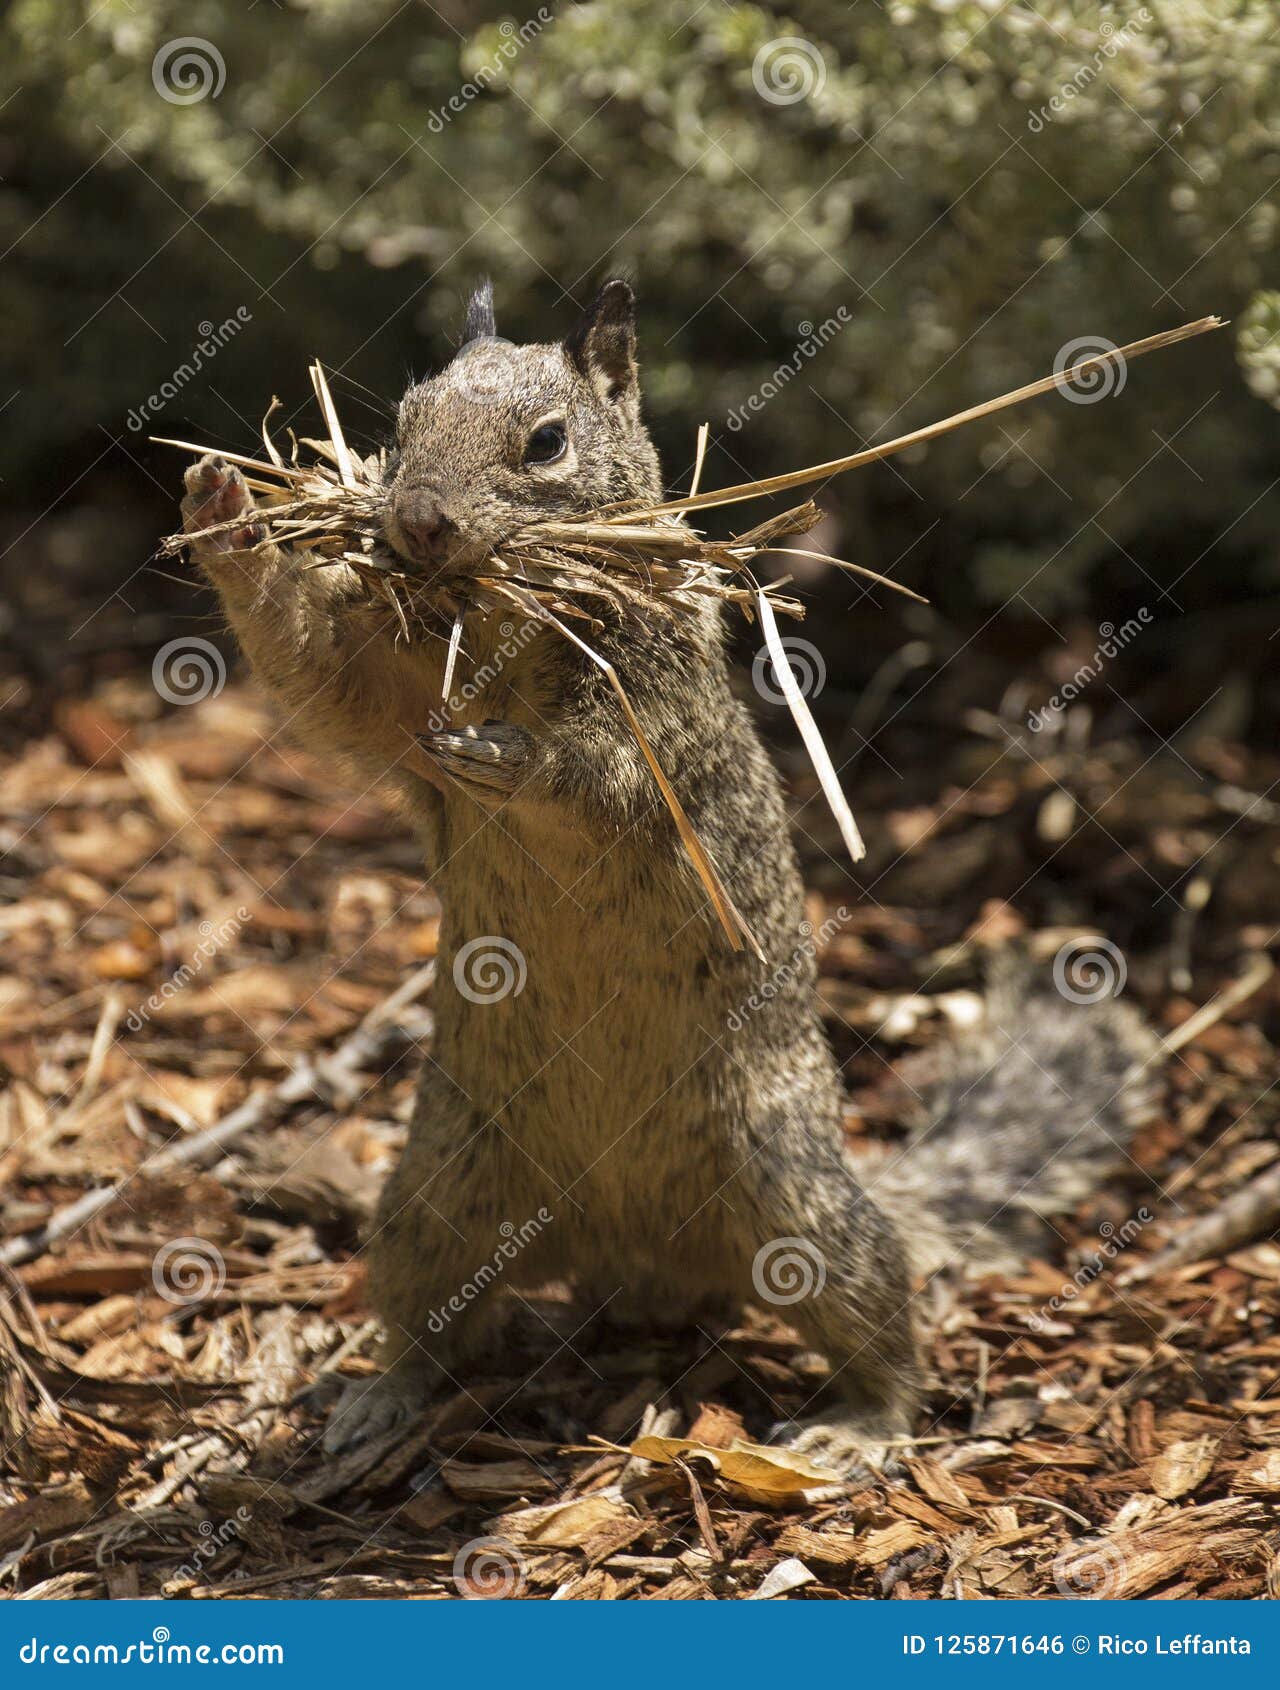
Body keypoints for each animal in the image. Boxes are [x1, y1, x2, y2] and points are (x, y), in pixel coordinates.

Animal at [179, 279, 1157, 1478]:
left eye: (547, 443)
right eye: (400, 426)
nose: (416, 523)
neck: (503, 621)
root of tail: (634, 1255)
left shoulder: (658, 711)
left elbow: (600, 780)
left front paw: (515, 757)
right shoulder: (393, 702)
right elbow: (317, 670)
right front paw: (226, 512)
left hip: (795, 1201)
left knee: (881, 1321)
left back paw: (857, 1429)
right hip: (434, 1197)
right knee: (430, 1323)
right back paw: (381, 1398)